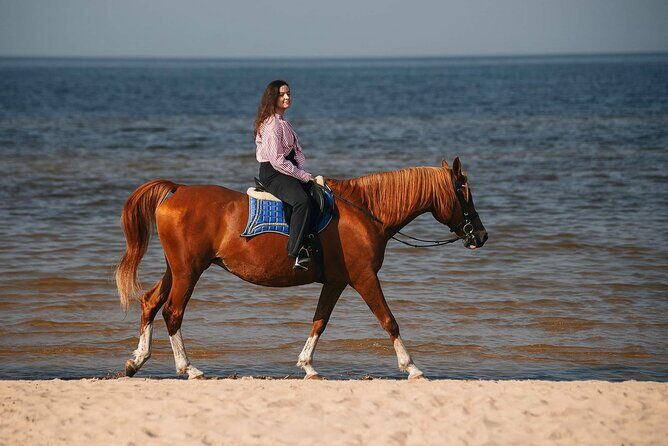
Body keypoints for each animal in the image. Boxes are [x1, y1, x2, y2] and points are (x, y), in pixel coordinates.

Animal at [115, 157, 488, 380]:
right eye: (464, 191)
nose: (481, 235)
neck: (365, 212)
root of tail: (177, 191)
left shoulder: (336, 282)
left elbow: (319, 322)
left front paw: (307, 365)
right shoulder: (364, 278)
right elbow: (389, 320)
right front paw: (411, 367)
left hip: (177, 268)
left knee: (151, 302)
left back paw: (137, 360)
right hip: (189, 271)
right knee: (173, 311)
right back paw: (187, 367)